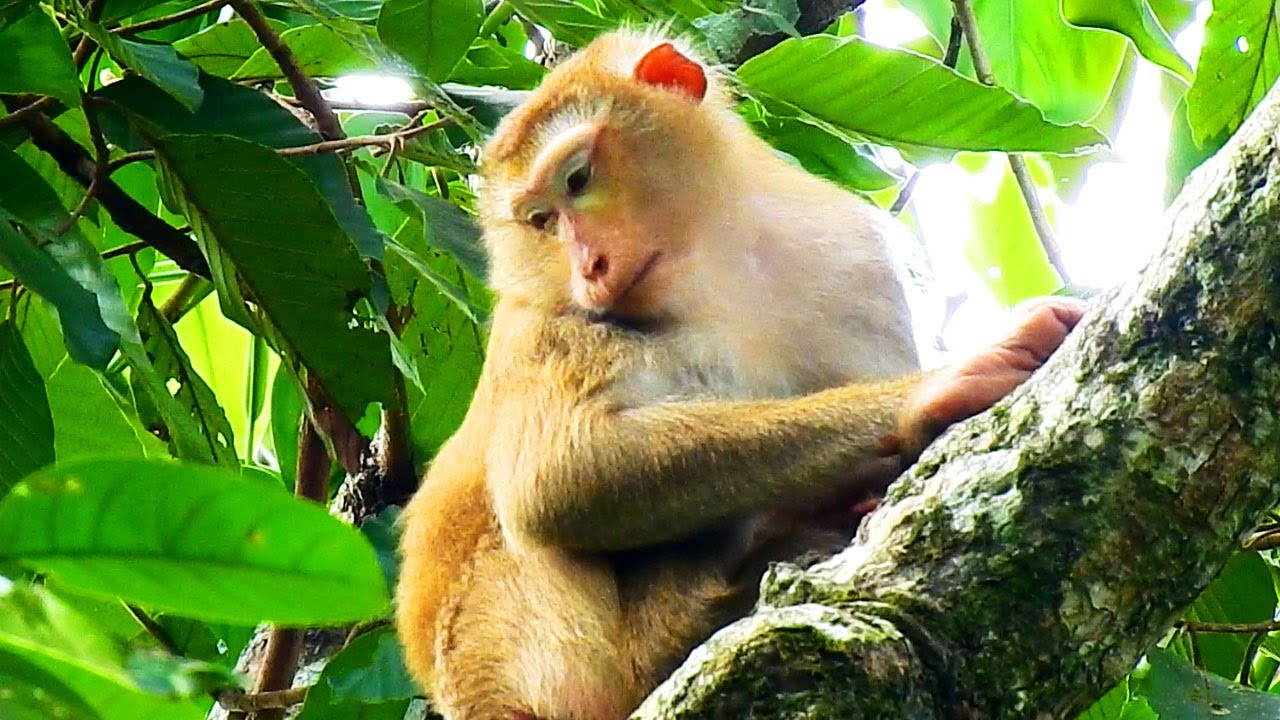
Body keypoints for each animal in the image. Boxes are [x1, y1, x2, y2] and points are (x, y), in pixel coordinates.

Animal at [395, 29, 1083, 720]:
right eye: (541, 221)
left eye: (579, 179)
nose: (588, 266)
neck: (717, 266)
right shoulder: (543, 320)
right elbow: (557, 477)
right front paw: (941, 388)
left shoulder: (856, 257)